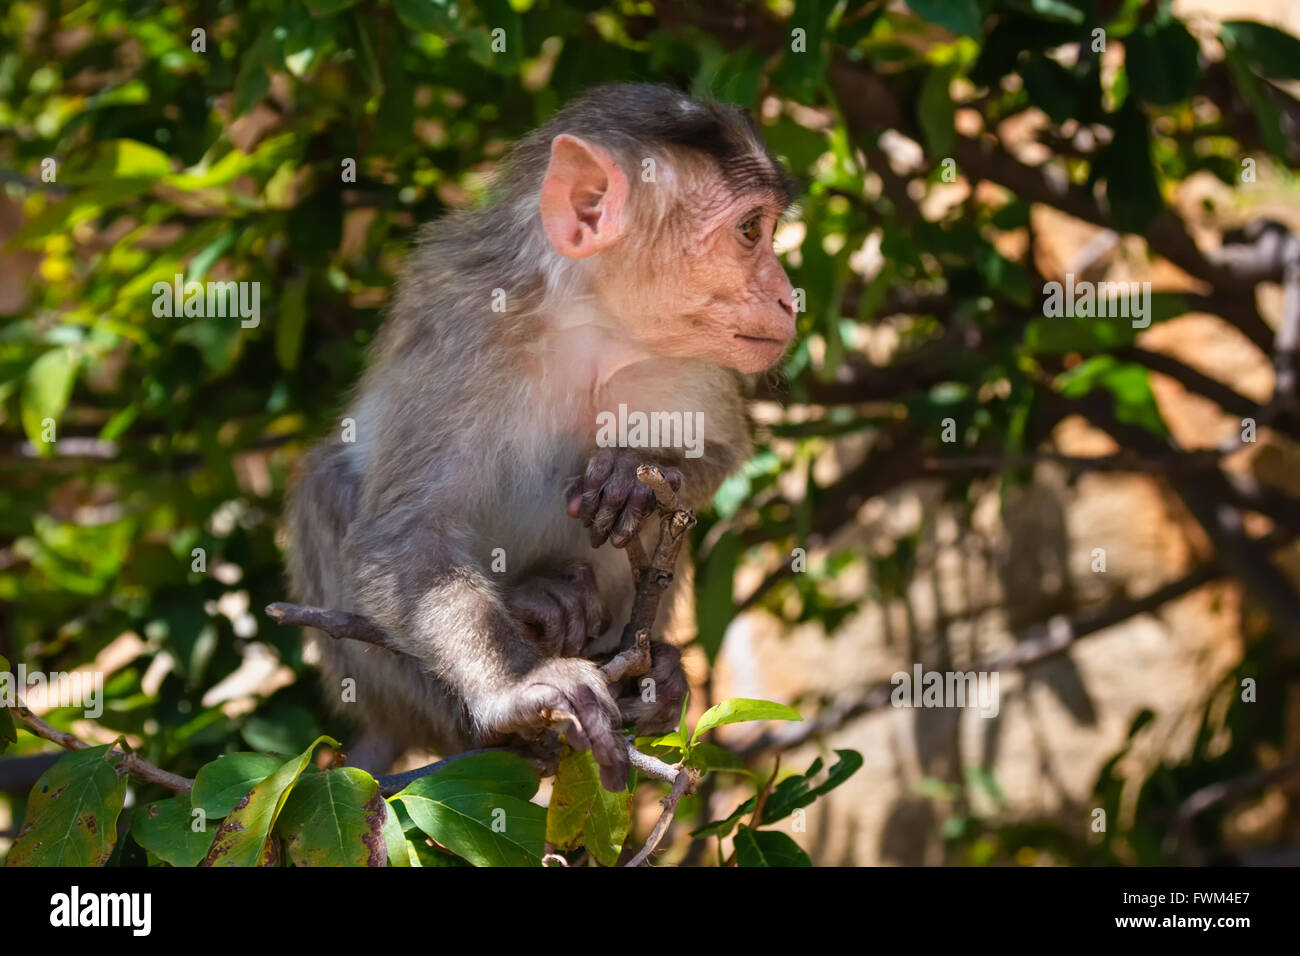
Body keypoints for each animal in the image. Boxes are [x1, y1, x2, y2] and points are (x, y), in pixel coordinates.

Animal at [286, 84, 797, 791]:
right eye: (751, 232)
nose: (787, 297)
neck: (591, 324)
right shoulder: (467, 332)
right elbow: (400, 535)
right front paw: (521, 684)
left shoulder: (692, 360)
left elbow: (719, 453)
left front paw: (635, 473)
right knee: (326, 483)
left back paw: (654, 681)